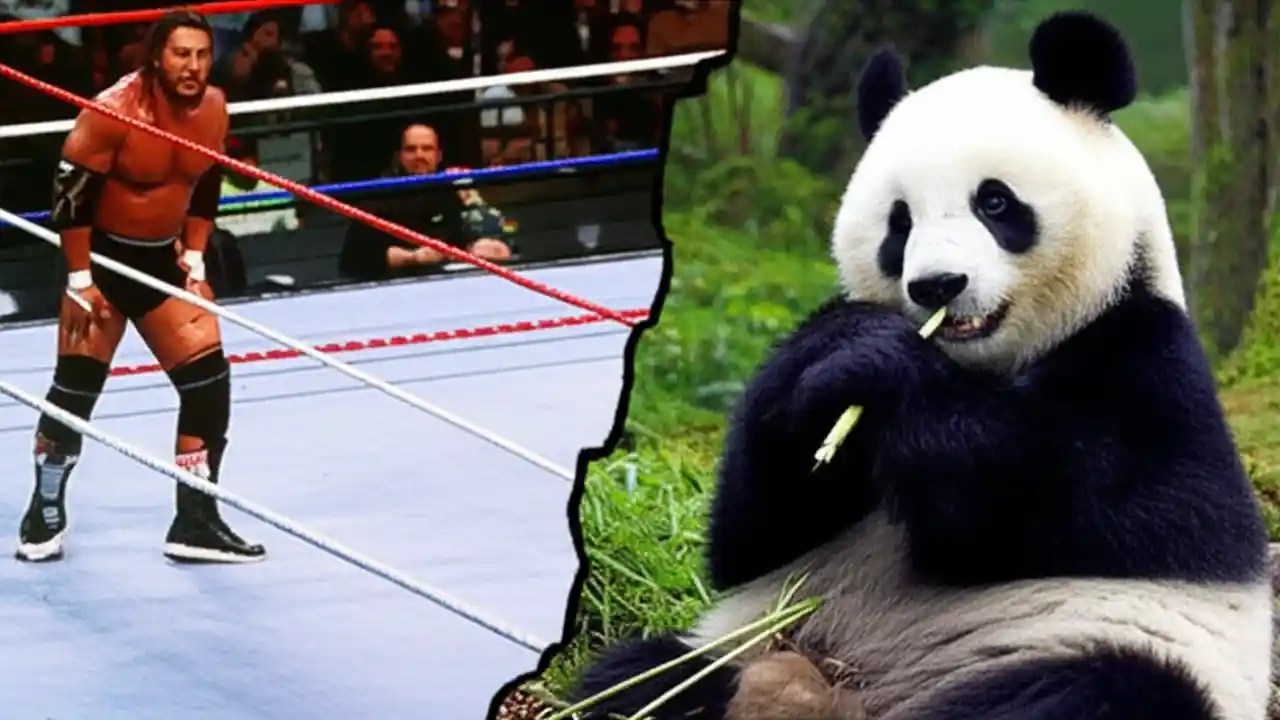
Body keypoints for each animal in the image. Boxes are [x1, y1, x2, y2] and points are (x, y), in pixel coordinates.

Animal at [568, 11, 1274, 720]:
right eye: (899, 223)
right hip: (742, 645)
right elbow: (751, 533)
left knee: (1095, 689)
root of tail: (830, 696)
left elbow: (1097, 495)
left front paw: (890, 370)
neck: (983, 364)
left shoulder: (1146, 355)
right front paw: (836, 354)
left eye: (996, 203)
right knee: (641, 678)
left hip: (1092, 649)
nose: (938, 285)